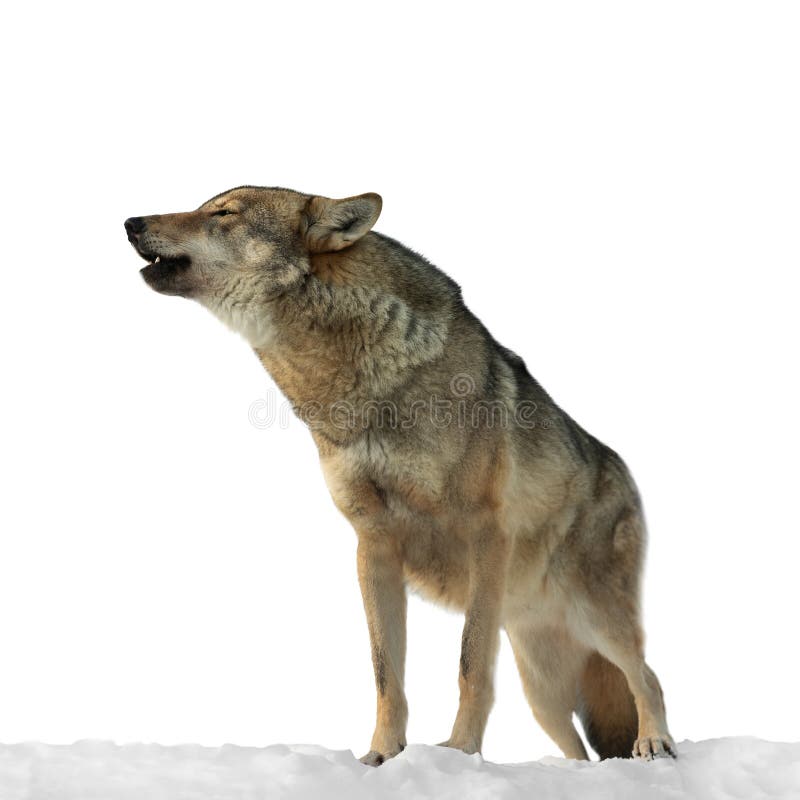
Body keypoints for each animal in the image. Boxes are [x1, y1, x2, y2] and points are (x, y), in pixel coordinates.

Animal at [125, 186, 675, 764]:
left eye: (224, 212)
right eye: (207, 206)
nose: (130, 223)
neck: (354, 388)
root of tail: (625, 473)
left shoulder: (485, 534)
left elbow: (470, 664)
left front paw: (460, 751)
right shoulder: (373, 545)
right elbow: (385, 672)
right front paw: (382, 756)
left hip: (596, 620)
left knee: (649, 678)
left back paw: (654, 741)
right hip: (541, 689)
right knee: (580, 748)